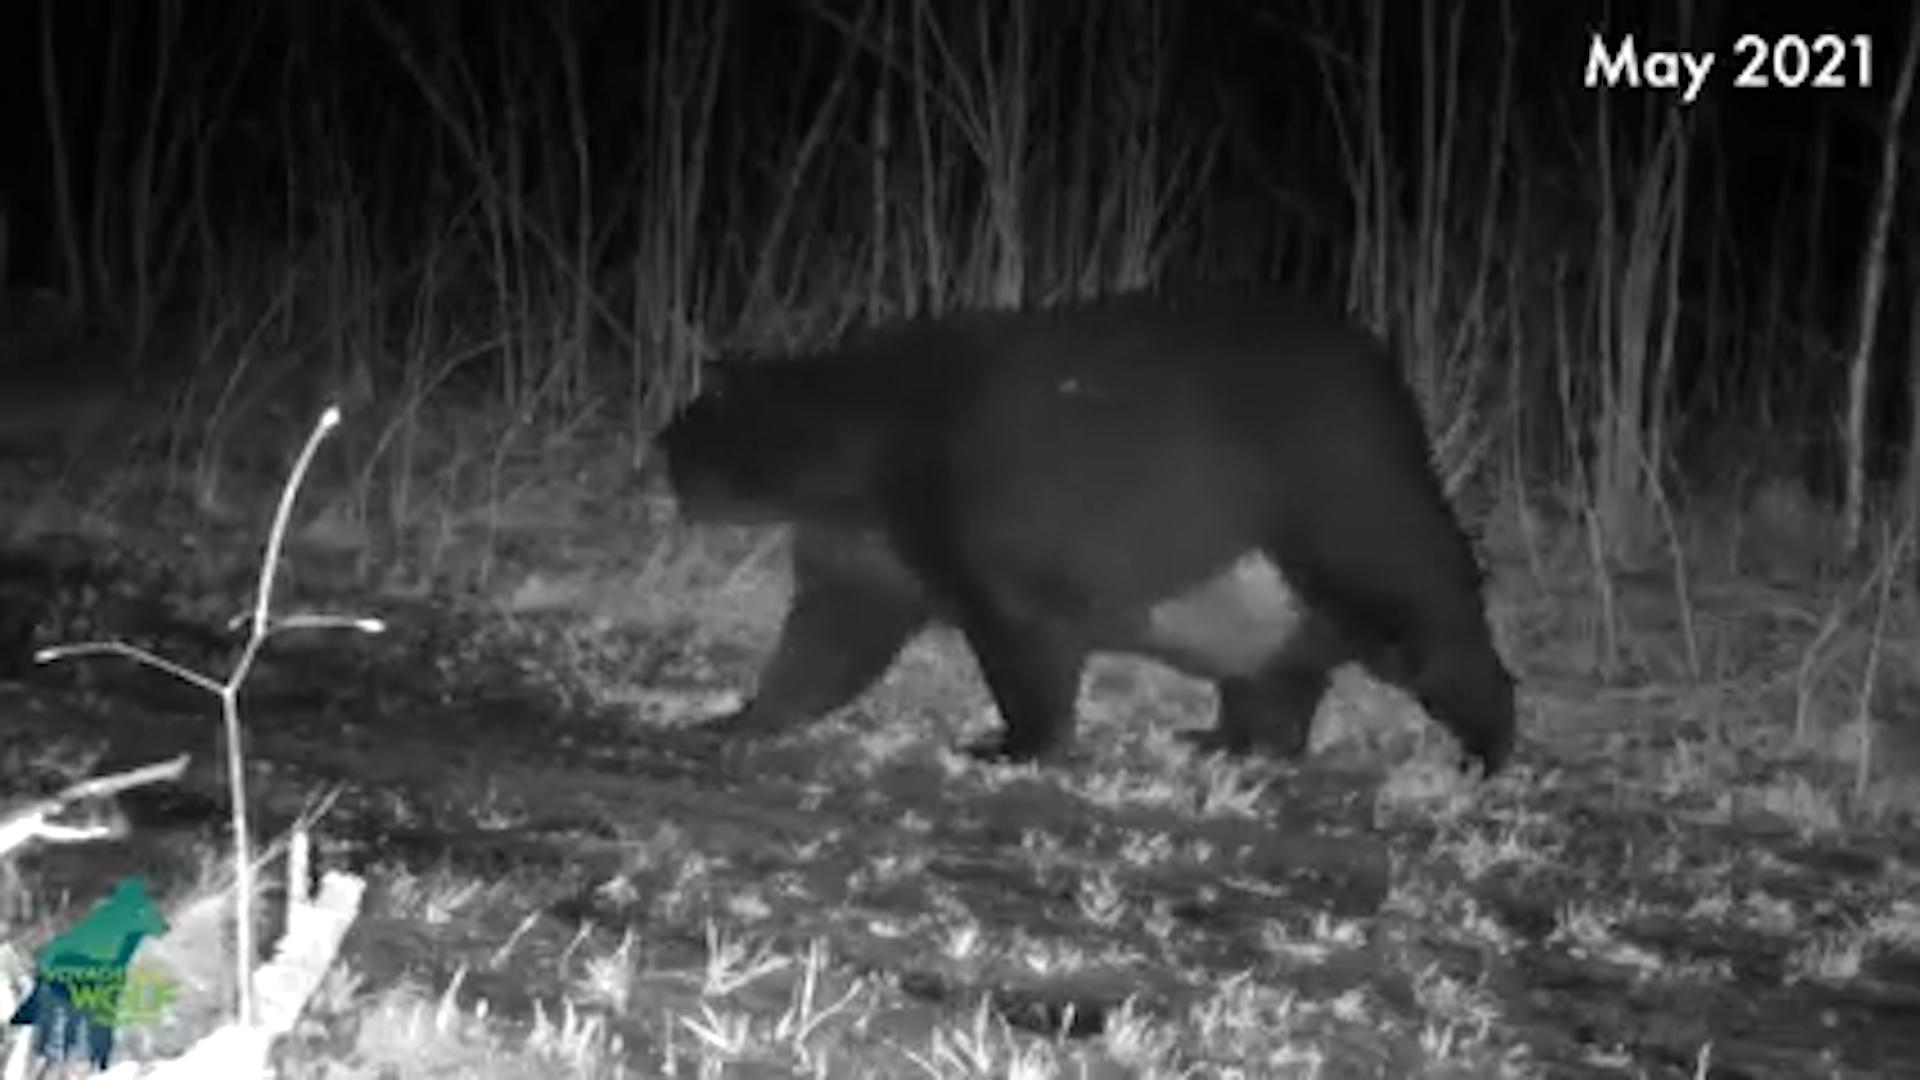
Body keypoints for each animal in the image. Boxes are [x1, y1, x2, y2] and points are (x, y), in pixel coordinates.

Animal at [655, 291, 1517, 776]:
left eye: (689, 424)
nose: (657, 449)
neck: (864, 449)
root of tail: (1391, 387)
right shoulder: (867, 551)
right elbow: (824, 648)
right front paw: (734, 718)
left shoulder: (990, 530)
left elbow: (1024, 651)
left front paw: (1008, 746)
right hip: (1259, 588)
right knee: (1277, 679)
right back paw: (1219, 739)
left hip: (1342, 507)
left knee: (1434, 625)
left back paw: (1481, 753)